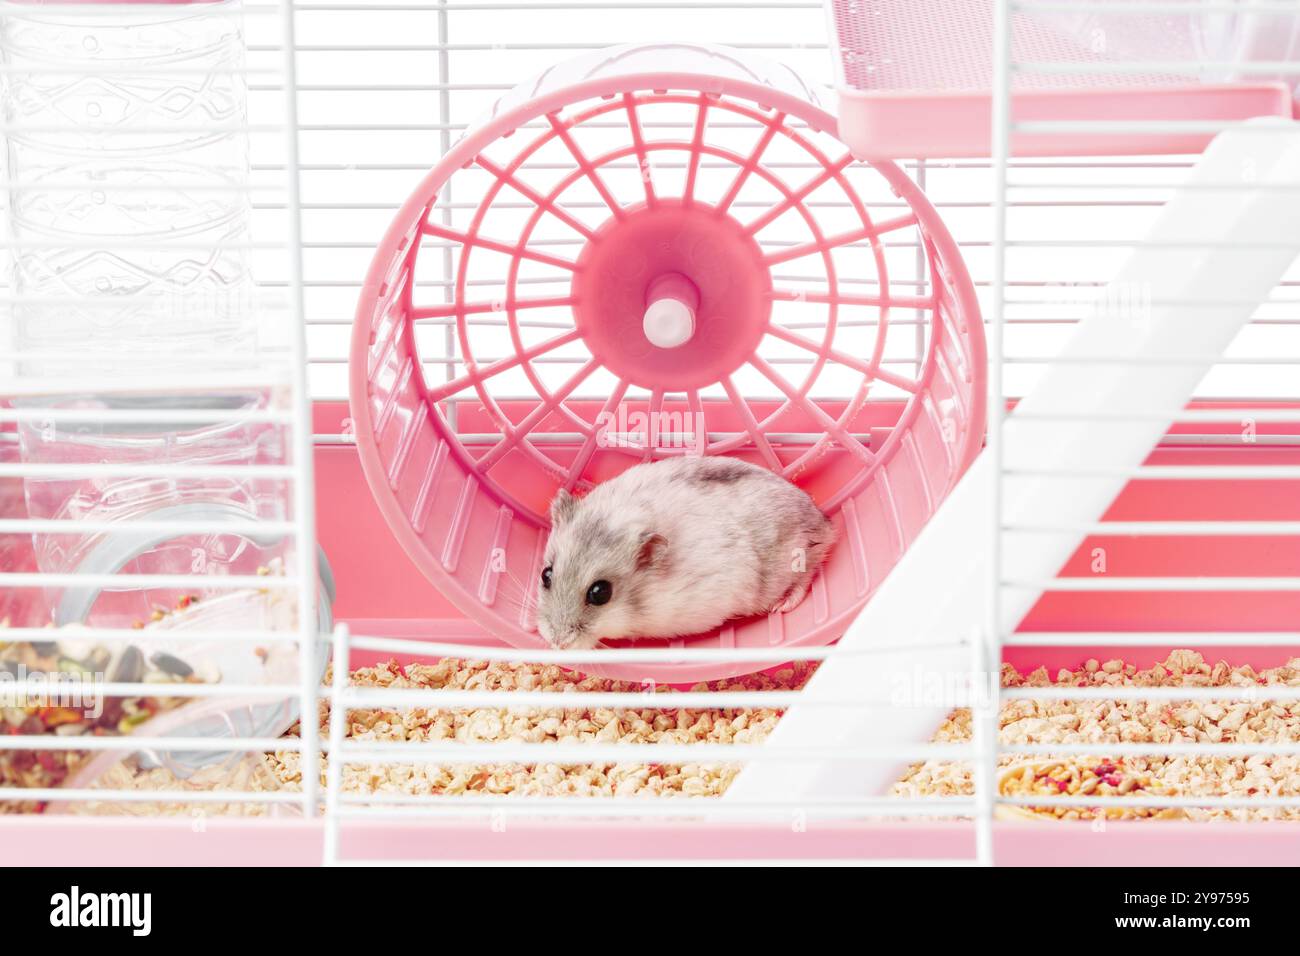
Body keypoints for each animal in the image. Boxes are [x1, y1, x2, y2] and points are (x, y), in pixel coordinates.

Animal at [536, 456, 836, 650]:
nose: (556, 643)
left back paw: (782, 605)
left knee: (808, 572)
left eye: (600, 593)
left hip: (797, 554)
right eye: (545, 575)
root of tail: (824, 520)